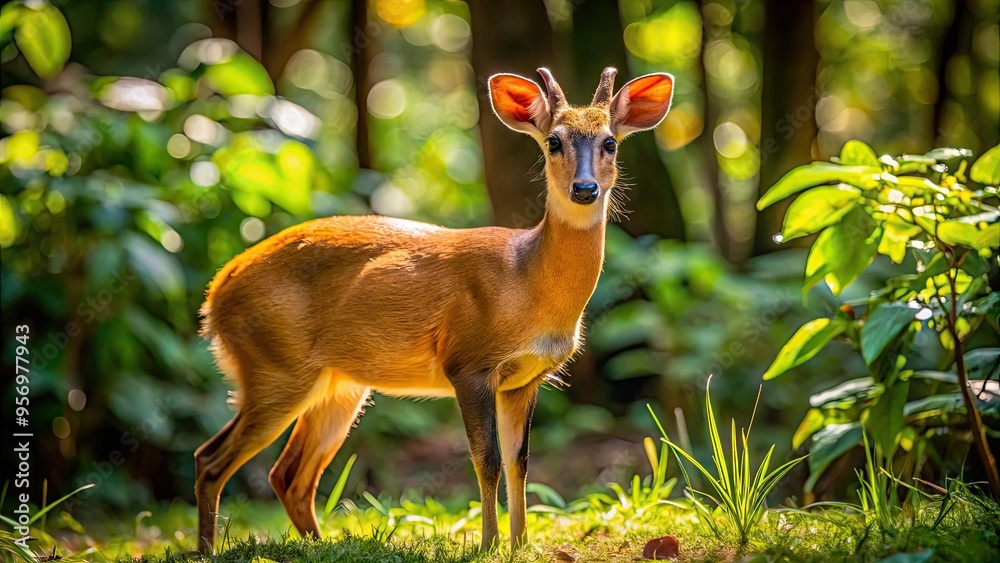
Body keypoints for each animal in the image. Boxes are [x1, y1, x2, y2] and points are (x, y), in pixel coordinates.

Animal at [194, 66, 674, 553]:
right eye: (553, 141)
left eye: (610, 141)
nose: (585, 188)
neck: (525, 285)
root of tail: (215, 295)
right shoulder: (467, 362)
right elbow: (487, 459)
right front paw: (489, 545)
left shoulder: (525, 379)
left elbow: (520, 460)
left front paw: (522, 544)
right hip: (274, 367)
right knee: (210, 459)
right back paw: (207, 549)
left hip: (337, 384)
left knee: (288, 475)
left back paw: (316, 544)